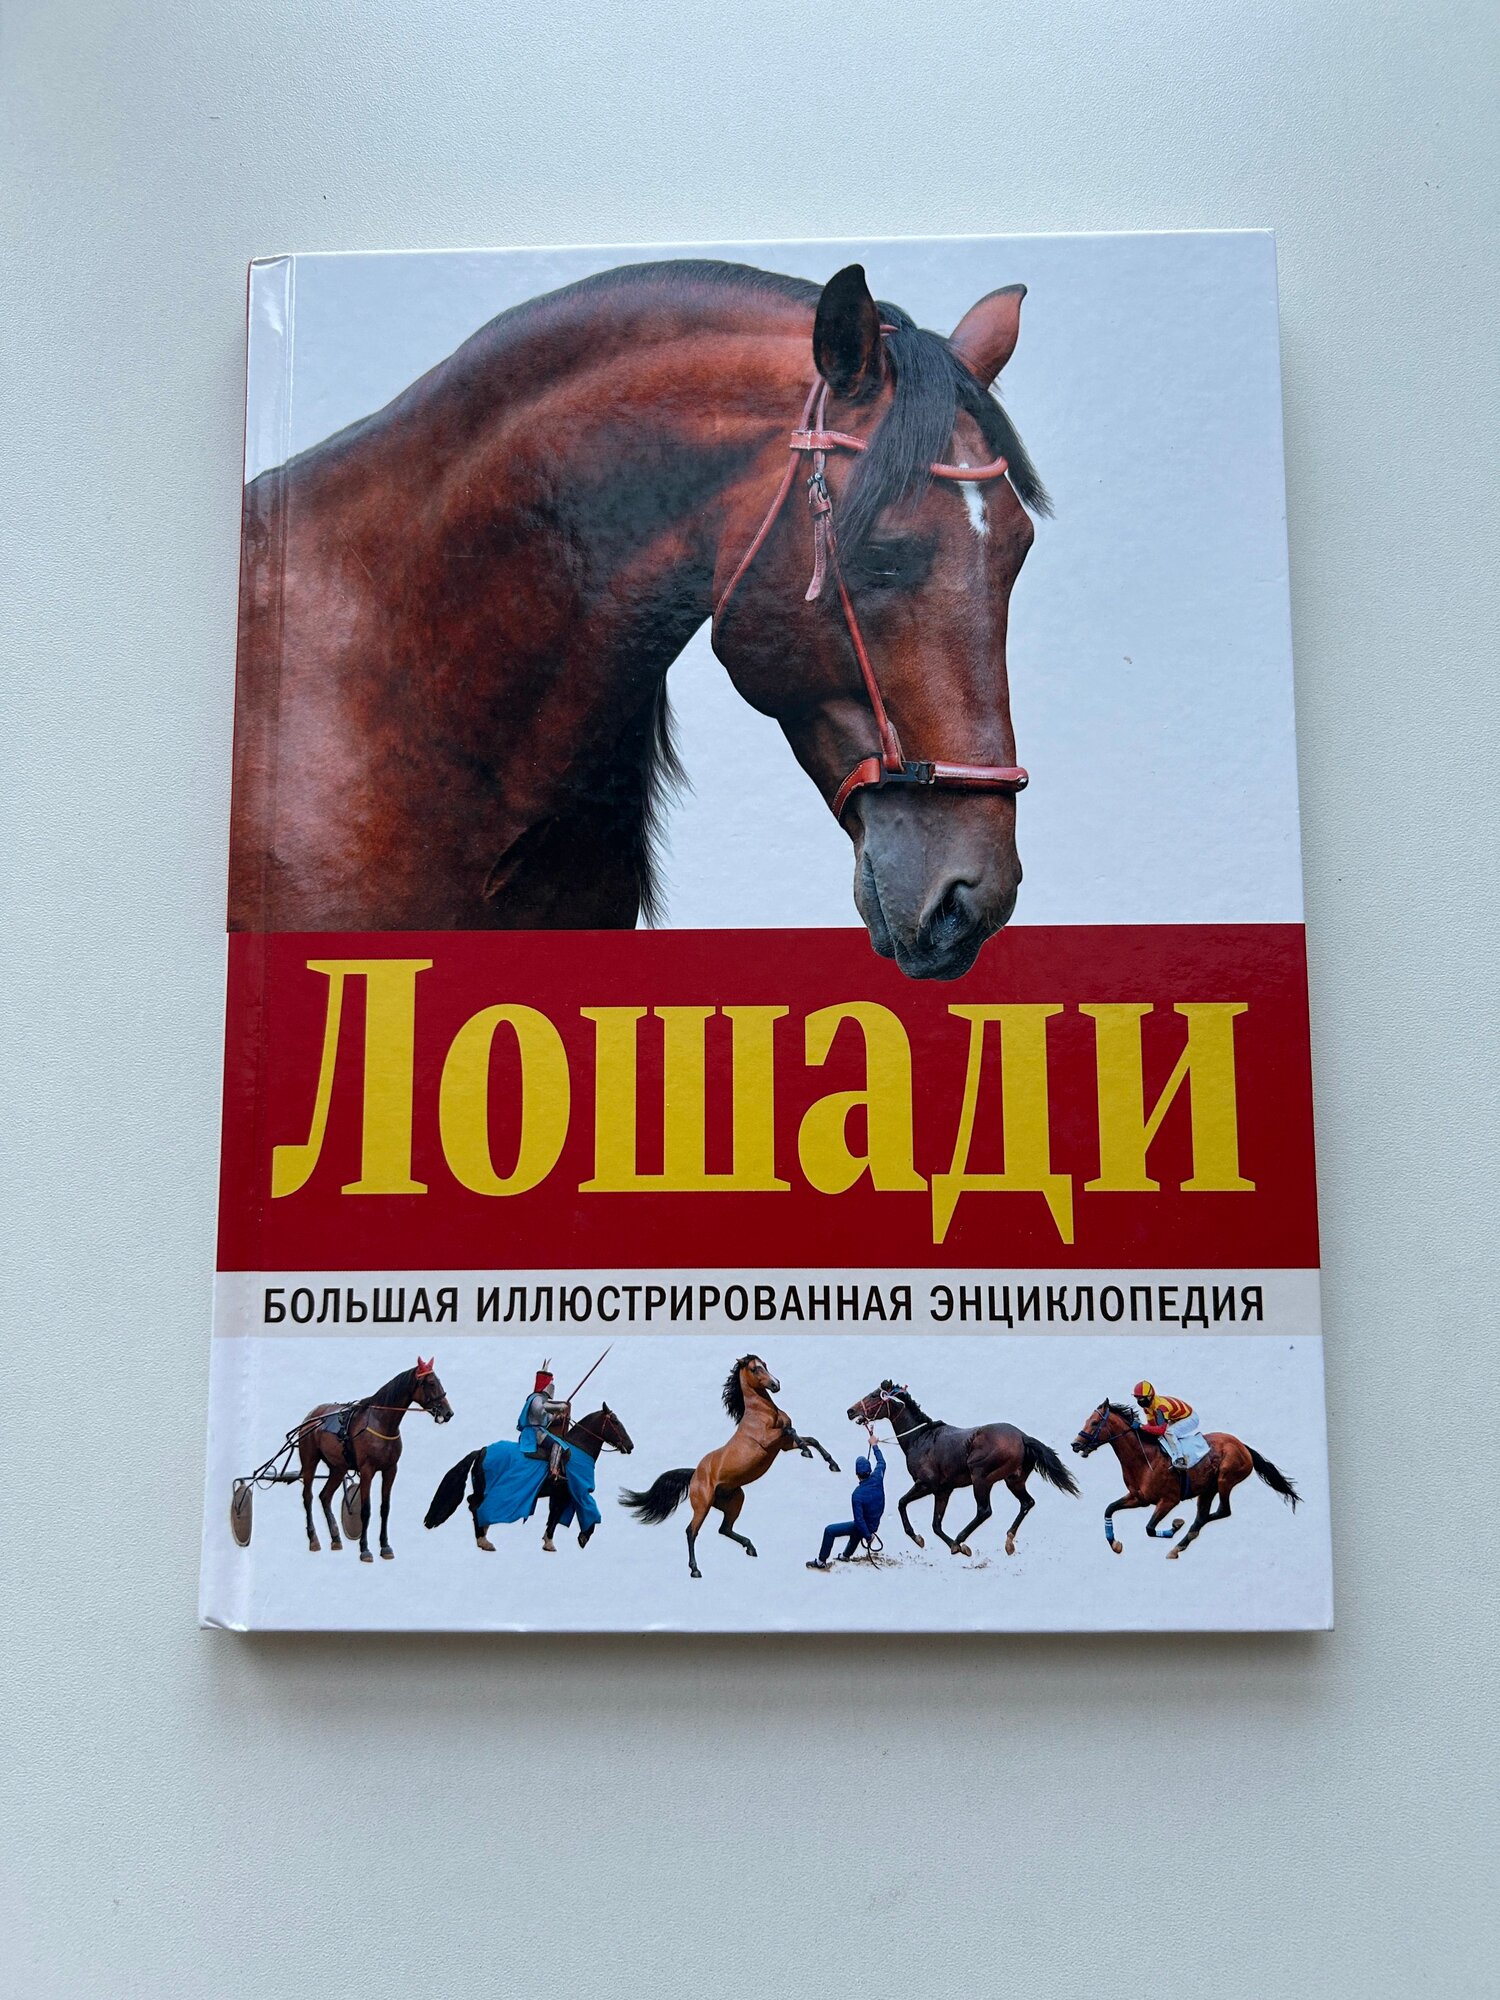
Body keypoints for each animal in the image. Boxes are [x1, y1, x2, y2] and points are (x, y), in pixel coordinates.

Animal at [297, 1357, 453, 1562]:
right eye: (431, 1383)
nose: (448, 1412)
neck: (381, 1422)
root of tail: (310, 1417)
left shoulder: (390, 1469)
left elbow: (384, 1508)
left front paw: (385, 1546)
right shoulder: (367, 1470)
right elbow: (366, 1509)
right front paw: (364, 1548)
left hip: (338, 1467)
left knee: (325, 1496)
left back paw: (336, 1538)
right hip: (309, 1461)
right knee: (308, 1496)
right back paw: (313, 1539)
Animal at [423, 1405, 634, 1551]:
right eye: (615, 1422)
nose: (630, 1446)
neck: (578, 1449)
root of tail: (482, 1450)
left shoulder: (560, 1494)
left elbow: (554, 1515)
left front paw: (548, 1541)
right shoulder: (571, 1492)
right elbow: (575, 1512)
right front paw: (571, 1539)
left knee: (474, 1504)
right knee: (474, 1505)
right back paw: (483, 1540)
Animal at [622, 1355, 840, 1577]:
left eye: (765, 1365)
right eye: (754, 1369)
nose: (776, 1384)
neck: (762, 1413)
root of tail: (695, 1474)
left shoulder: (784, 1446)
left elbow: (810, 1438)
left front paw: (832, 1464)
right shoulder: (769, 1441)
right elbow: (792, 1431)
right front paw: (807, 1452)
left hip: (735, 1499)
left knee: (724, 1529)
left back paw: (750, 1548)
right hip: (703, 1505)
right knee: (692, 1531)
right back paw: (695, 1570)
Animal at [847, 1379, 1077, 1557]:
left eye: (874, 1396)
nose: (851, 1411)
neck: (920, 1438)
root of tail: (1022, 1436)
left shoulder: (927, 1485)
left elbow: (902, 1503)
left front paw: (920, 1538)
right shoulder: (943, 1491)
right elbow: (936, 1525)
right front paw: (952, 1546)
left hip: (981, 1478)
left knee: (985, 1511)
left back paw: (961, 1539)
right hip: (1014, 1481)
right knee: (1027, 1503)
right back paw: (1008, 1542)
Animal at [1070, 1401, 1301, 1558]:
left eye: (1095, 1422)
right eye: (1087, 1420)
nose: (1075, 1444)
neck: (1145, 1459)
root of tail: (1242, 1445)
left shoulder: (1169, 1500)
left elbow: (1149, 1528)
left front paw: (1175, 1525)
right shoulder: (1138, 1498)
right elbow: (1109, 1509)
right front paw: (1115, 1544)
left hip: (1225, 1479)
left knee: (1222, 1511)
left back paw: (1185, 1533)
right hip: (1208, 1489)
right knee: (1205, 1515)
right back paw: (1181, 1544)